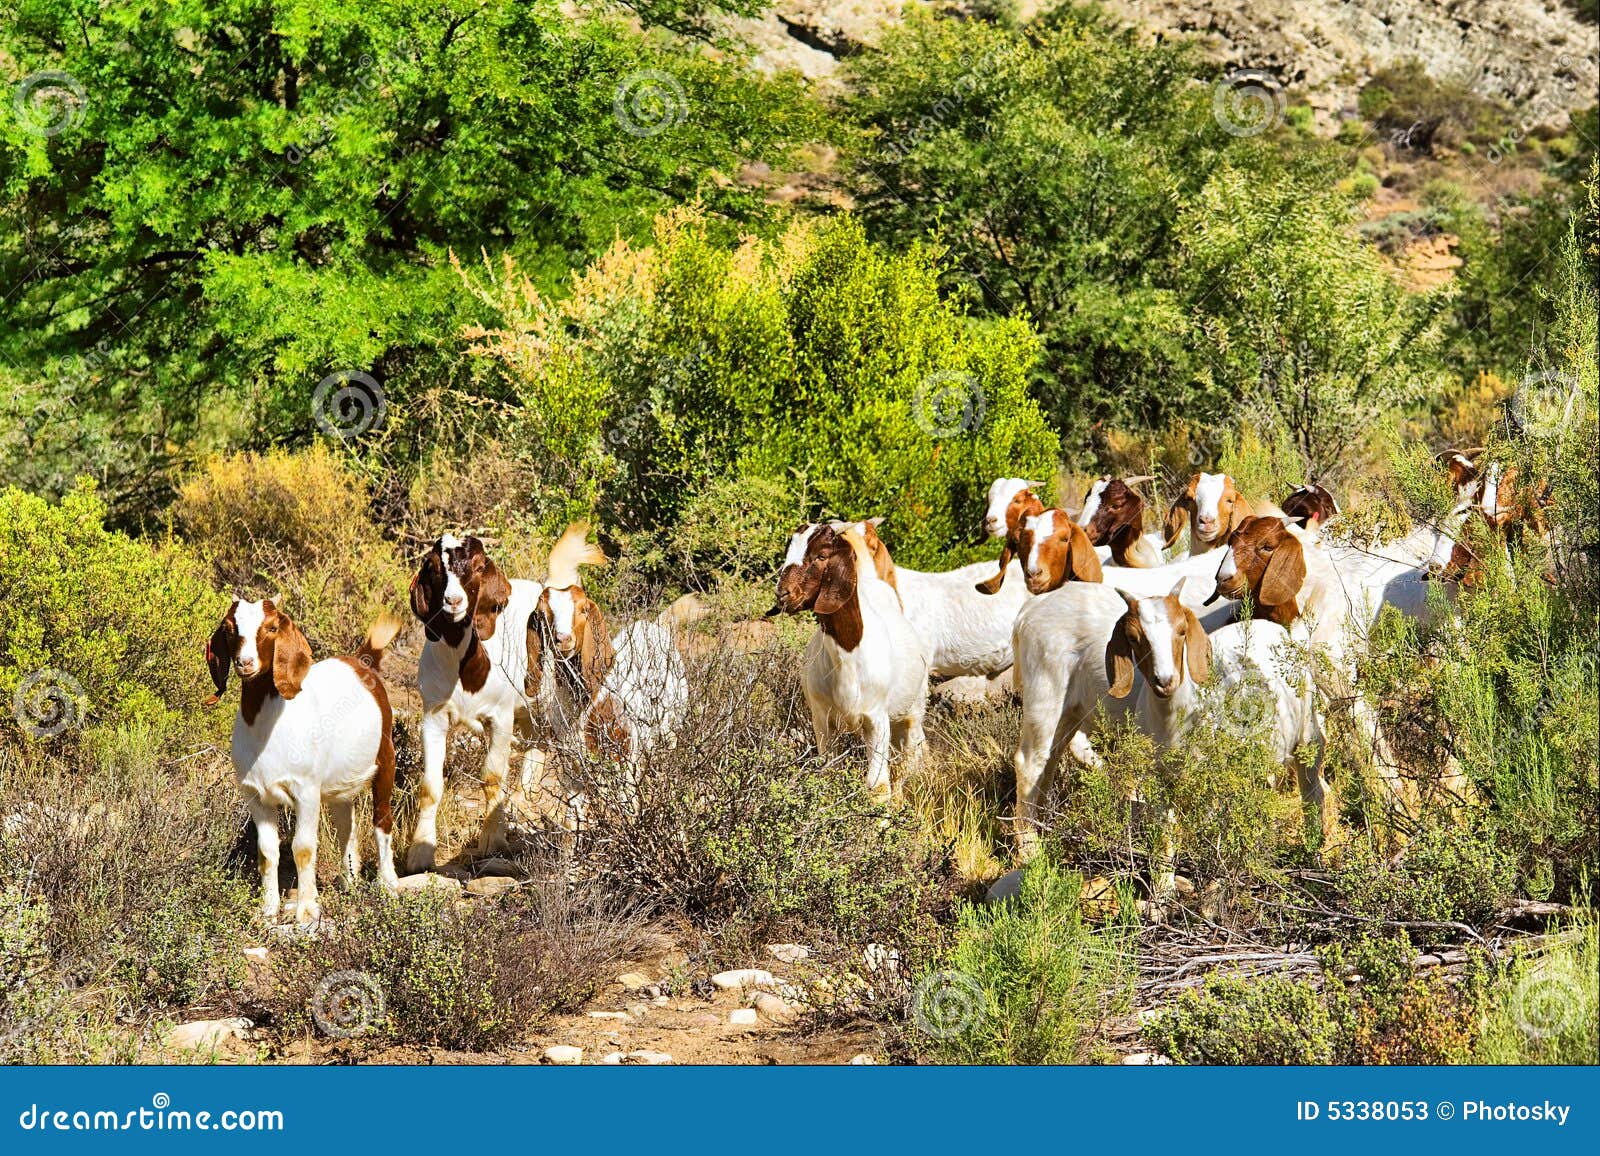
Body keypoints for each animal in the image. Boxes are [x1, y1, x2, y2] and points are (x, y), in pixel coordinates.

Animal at [205, 600, 401, 923]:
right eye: (230, 628)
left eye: (272, 627)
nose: (245, 663)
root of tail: (362, 662)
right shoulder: (255, 795)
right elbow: (267, 851)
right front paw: (267, 910)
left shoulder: (306, 791)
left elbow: (303, 848)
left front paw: (307, 911)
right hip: (338, 787)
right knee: (346, 825)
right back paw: (348, 880)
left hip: (386, 759)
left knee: (382, 820)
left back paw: (388, 884)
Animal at [408, 534, 544, 870]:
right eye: (433, 567)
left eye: (480, 567)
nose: (454, 601)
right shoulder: (432, 718)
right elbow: (430, 786)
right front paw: (420, 851)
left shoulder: (500, 717)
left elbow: (492, 777)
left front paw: (493, 840)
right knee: (536, 740)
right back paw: (523, 794)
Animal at [769, 523, 929, 800]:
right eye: (788, 551)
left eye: (821, 555)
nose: (783, 594)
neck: (849, 655)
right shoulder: (822, 720)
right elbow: (828, 776)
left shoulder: (877, 718)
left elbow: (878, 787)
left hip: (913, 711)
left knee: (907, 761)